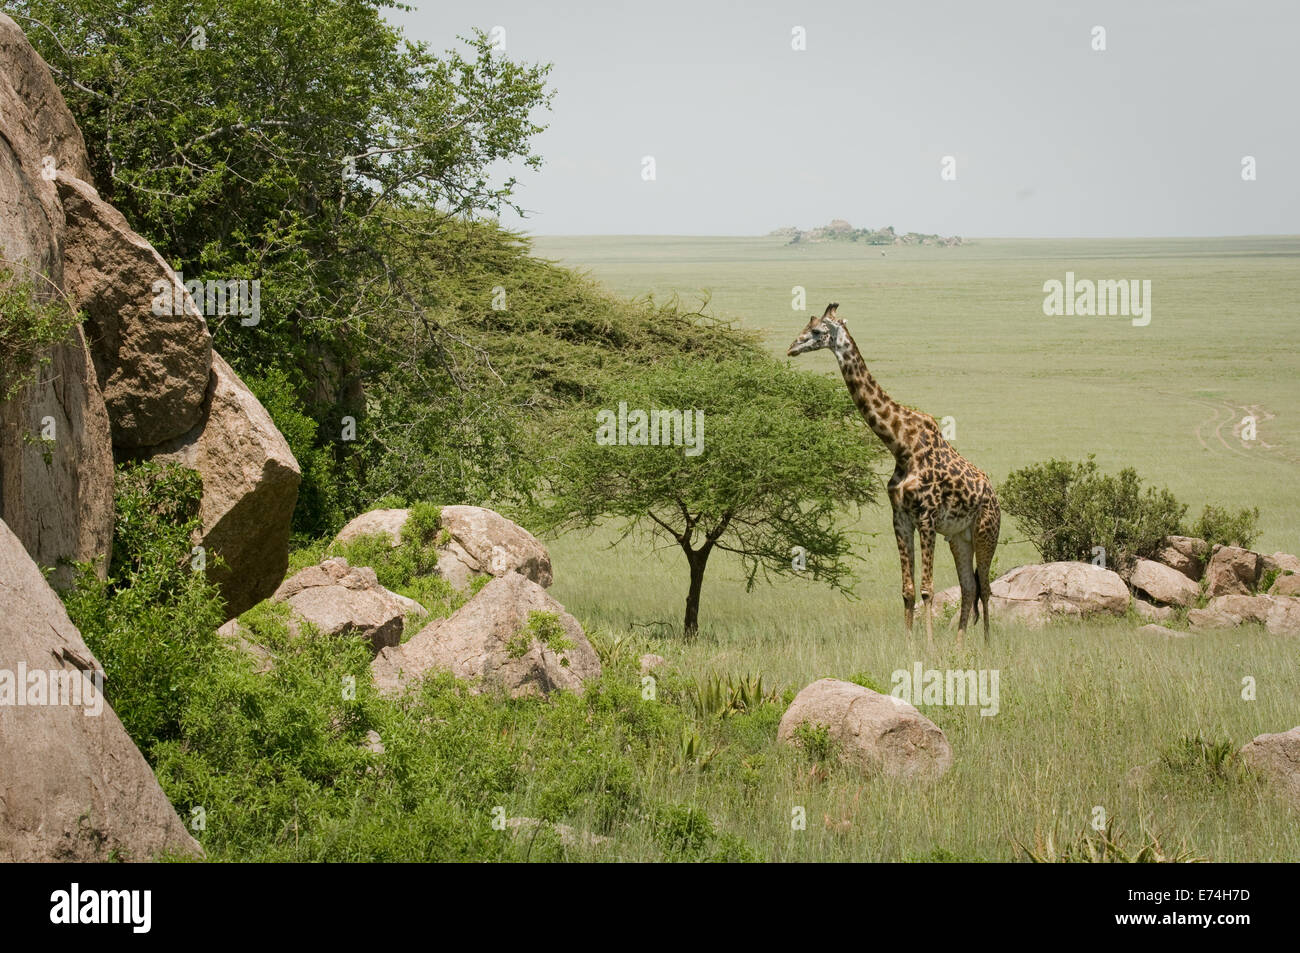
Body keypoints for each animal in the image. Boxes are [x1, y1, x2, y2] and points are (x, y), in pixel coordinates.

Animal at [787, 303, 1000, 647]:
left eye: (817, 331)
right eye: (806, 326)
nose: (792, 347)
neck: (900, 444)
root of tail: (993, 493)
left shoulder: (926, 516)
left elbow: (927, 590)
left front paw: (929, 647)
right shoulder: (900, 516)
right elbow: (907, 590)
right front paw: (910, 646)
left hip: (986, 531)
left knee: (986, 588)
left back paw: (986, 645)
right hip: (959, 536)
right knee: (970, 588)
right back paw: (959, 646)